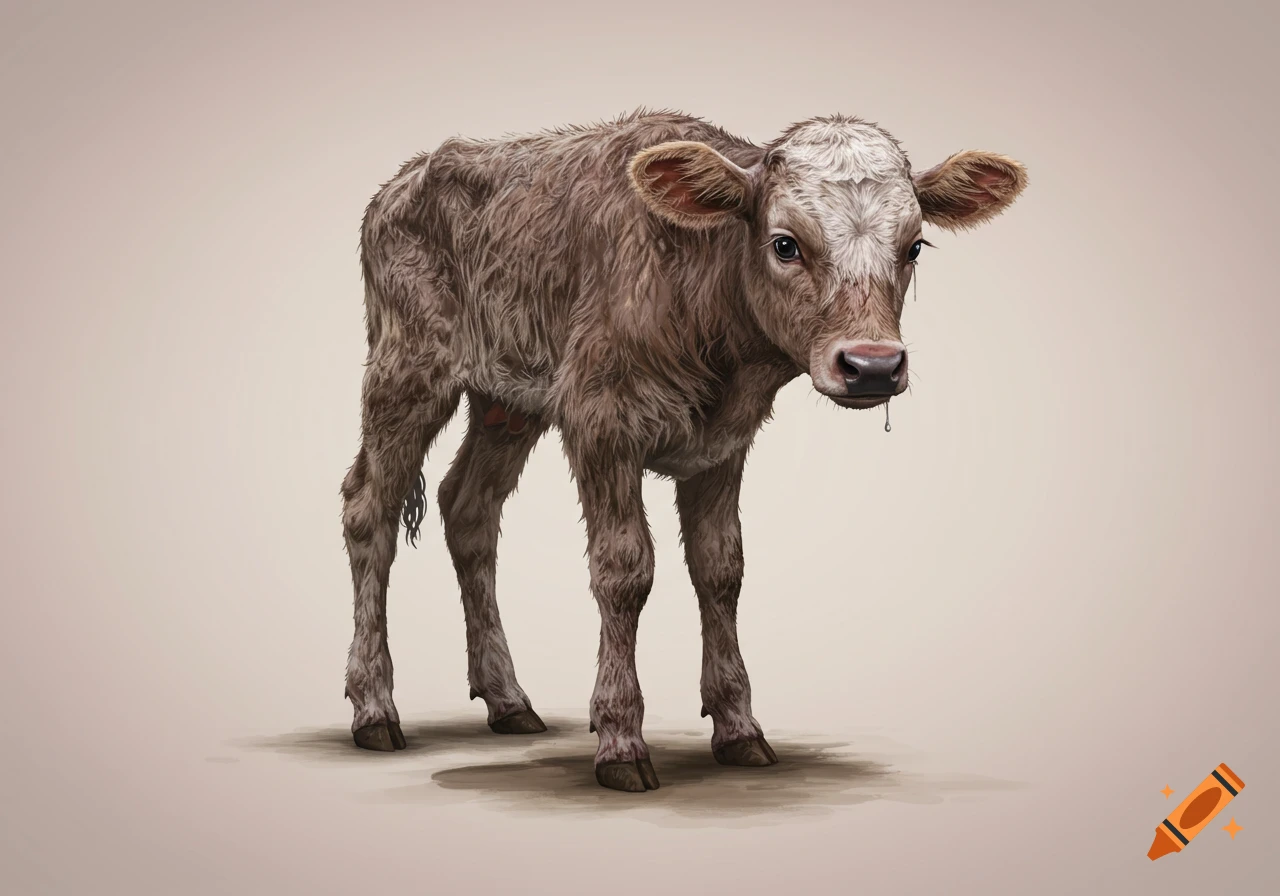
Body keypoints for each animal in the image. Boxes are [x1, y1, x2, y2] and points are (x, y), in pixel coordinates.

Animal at [339, 109, 1027, 792]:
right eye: (785, 243)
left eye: (913, 246)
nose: (874, 365)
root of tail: (402, 183)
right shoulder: (600, 422)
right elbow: (624, 570)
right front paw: (620, 740)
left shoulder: (723, 446)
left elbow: (721, 568)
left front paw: (739, 728)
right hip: (407, 372)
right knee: (368, 509)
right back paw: (374, 708)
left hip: (506, 402)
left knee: (469, 509)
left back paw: (509, 700)